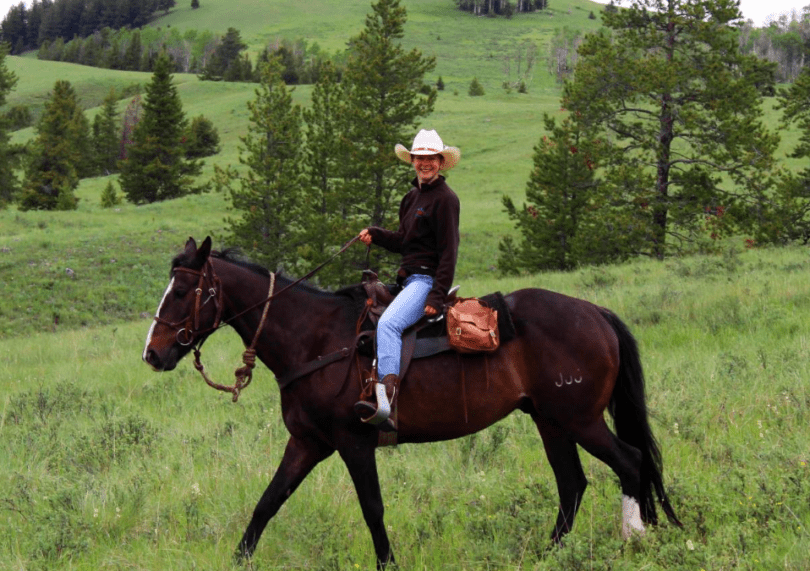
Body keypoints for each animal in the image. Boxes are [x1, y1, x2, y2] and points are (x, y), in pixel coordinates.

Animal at [142, 237, 681, 568]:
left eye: (184, 289)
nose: (153, 353)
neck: (313, 338)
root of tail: (596, 313)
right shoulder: (307, 443)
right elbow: (267, 503)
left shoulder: (353, 442)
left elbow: (372, 509)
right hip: (551, 421)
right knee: (572, 485)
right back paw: (548, 556)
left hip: (581, 419)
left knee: (630, 463)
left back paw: (633, 538)